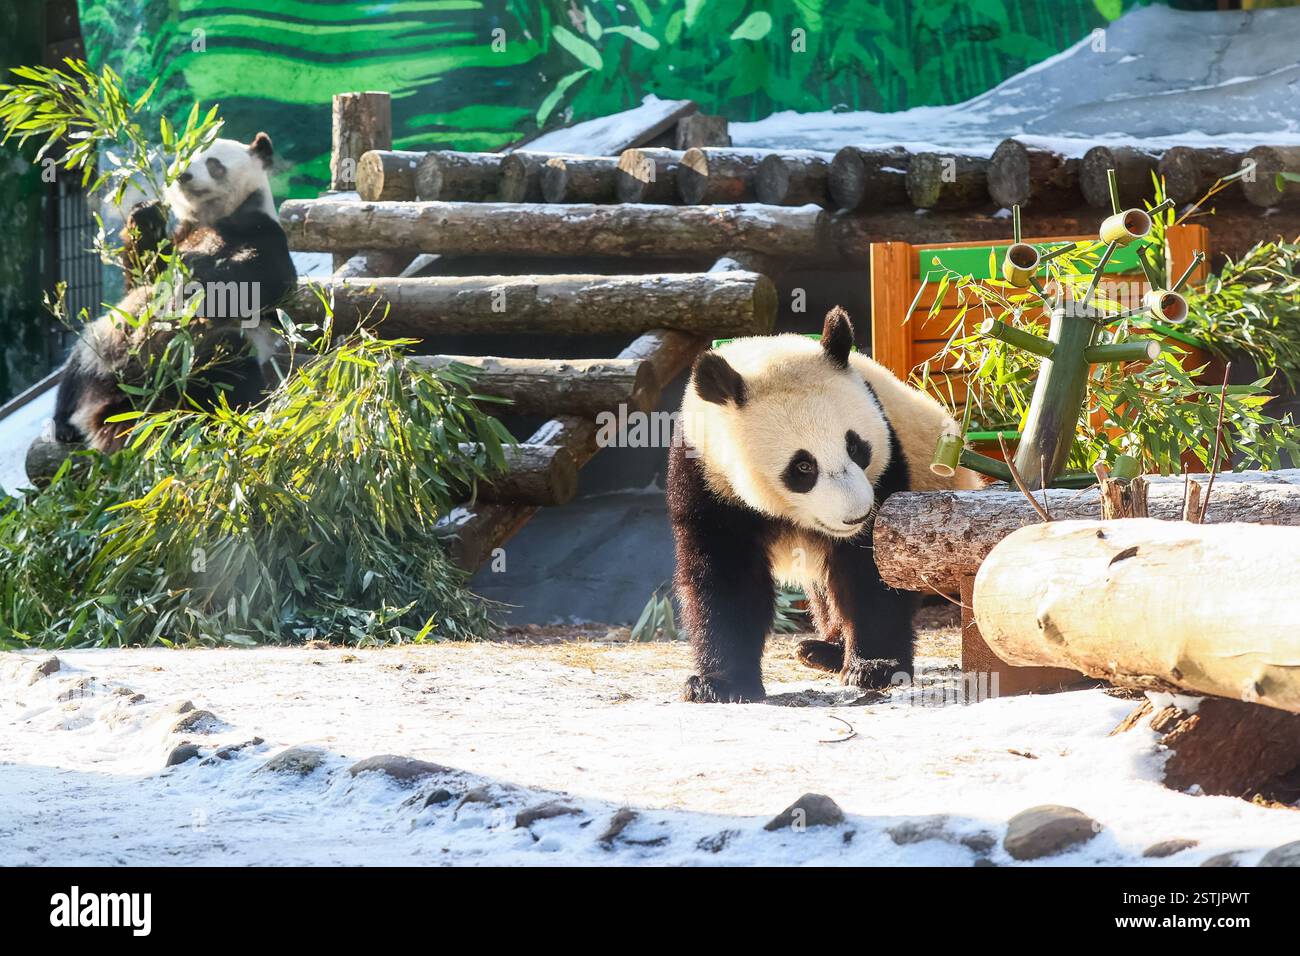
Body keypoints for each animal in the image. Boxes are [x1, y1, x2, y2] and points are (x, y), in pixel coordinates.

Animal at [53, 132, 297, 452]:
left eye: (213, 163)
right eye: (184, 156)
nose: (184, 175)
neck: (212, 217)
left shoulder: (260, 232)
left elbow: (264, 281)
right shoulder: (174, 244)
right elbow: (143, 274)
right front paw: (146, 215)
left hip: (203, 356)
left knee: (228, 373)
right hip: (103, 343)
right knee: (75, 371)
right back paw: (65, 425)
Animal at [668, 306, 982, 703]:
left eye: (856, 446)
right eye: (803, 466)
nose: (857, 514)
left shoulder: (889, 465)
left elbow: (868, 571)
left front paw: (874, 667)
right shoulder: (708, 476)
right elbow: (726, 575)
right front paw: (720, 684)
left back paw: (830, 652)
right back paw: (822, 650)